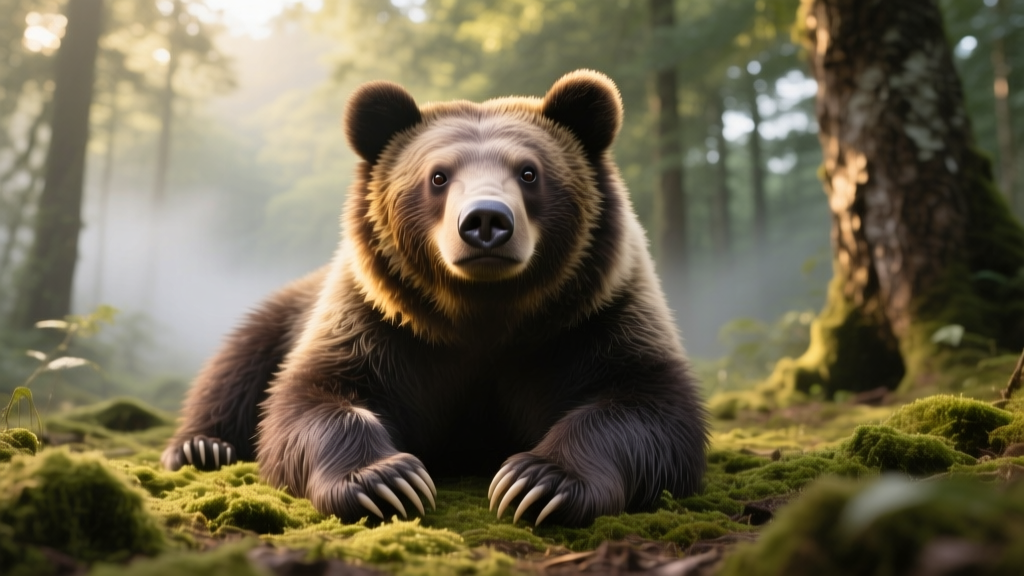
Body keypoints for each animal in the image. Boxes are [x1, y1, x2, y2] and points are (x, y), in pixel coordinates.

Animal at [161, 69, 708, 527]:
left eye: (529, 172)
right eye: (439, 175)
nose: (486, 220)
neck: (484, 311)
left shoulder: (590, 320)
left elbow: (646, 405)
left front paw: (537, 482)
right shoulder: (380, 322)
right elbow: (313, 397)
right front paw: (386, 481)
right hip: (287, 311)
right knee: (239, 362)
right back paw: (202, 447)